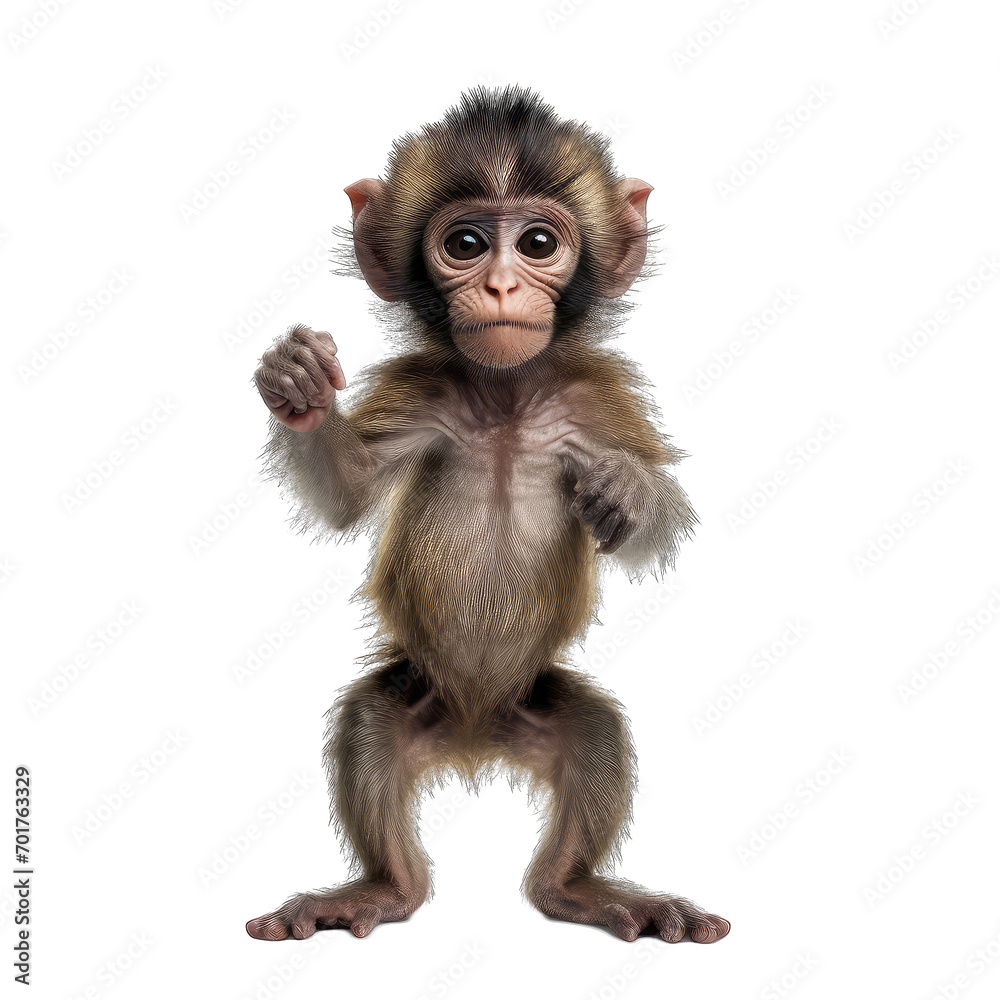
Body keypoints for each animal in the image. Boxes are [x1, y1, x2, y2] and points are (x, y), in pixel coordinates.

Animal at [246, 87, 730, 945]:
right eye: (466, 243)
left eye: (537, 243)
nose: (503, 287)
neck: (507, 398)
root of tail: (475, 732)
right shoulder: (423, 390)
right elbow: (348, 491)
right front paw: (300, 388)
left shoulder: (596, 396)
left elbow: (664, 515)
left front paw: (631, 490)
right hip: (417, 702)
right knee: (369, 726)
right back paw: (382, 890)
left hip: (536, 705)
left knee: (594, 733)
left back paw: (578, 890)